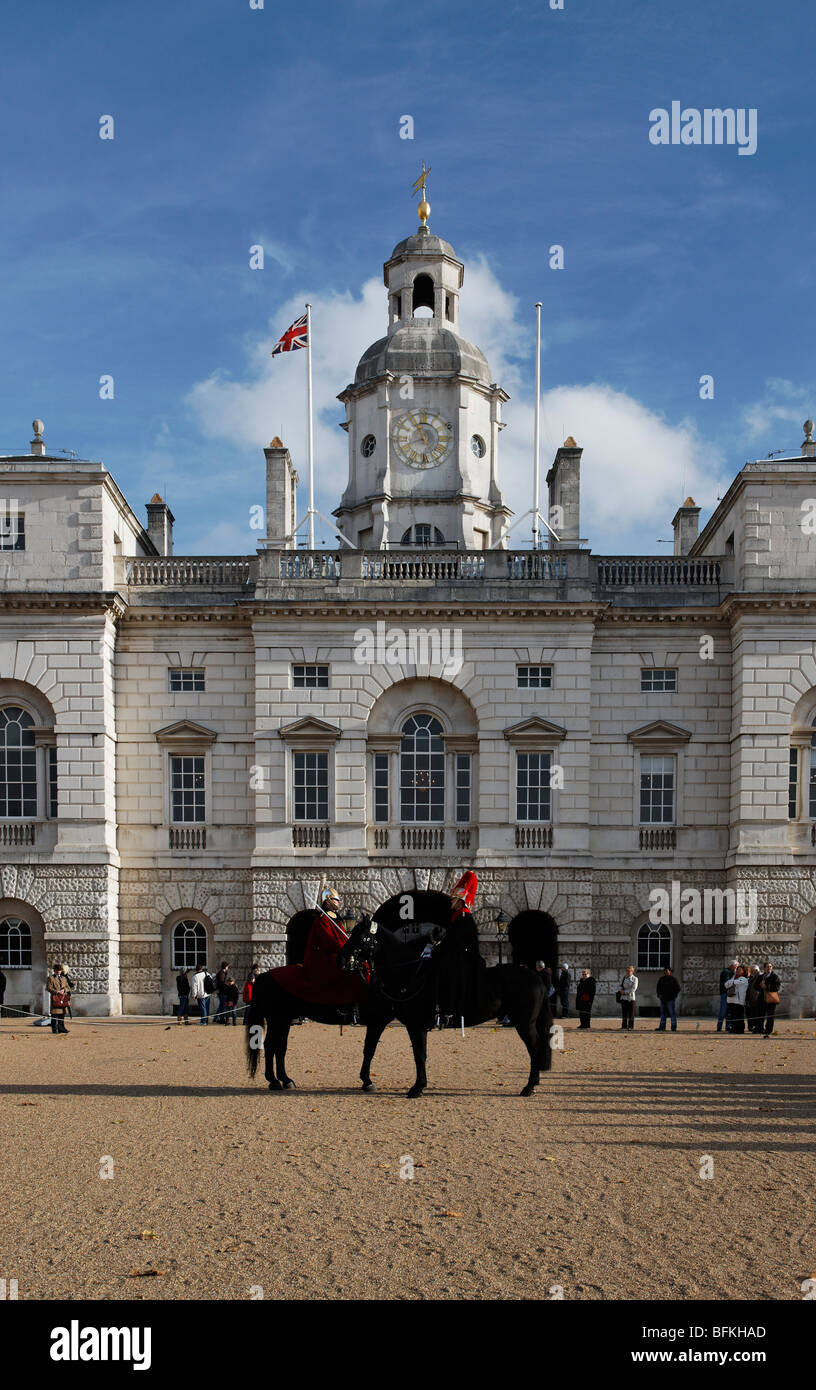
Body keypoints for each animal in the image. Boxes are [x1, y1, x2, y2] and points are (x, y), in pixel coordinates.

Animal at [338, 918, 554, 1097]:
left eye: (361, 936)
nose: (341, 957)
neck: (409, 973)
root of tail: (536, 976)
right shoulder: (410, 1025)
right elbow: (417, 1054)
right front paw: (419, 1085)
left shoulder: (414, 1025)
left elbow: (419, 1055)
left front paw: (417, 1088)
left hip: (524, 1023)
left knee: (535, 1048)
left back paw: (529, 1087)